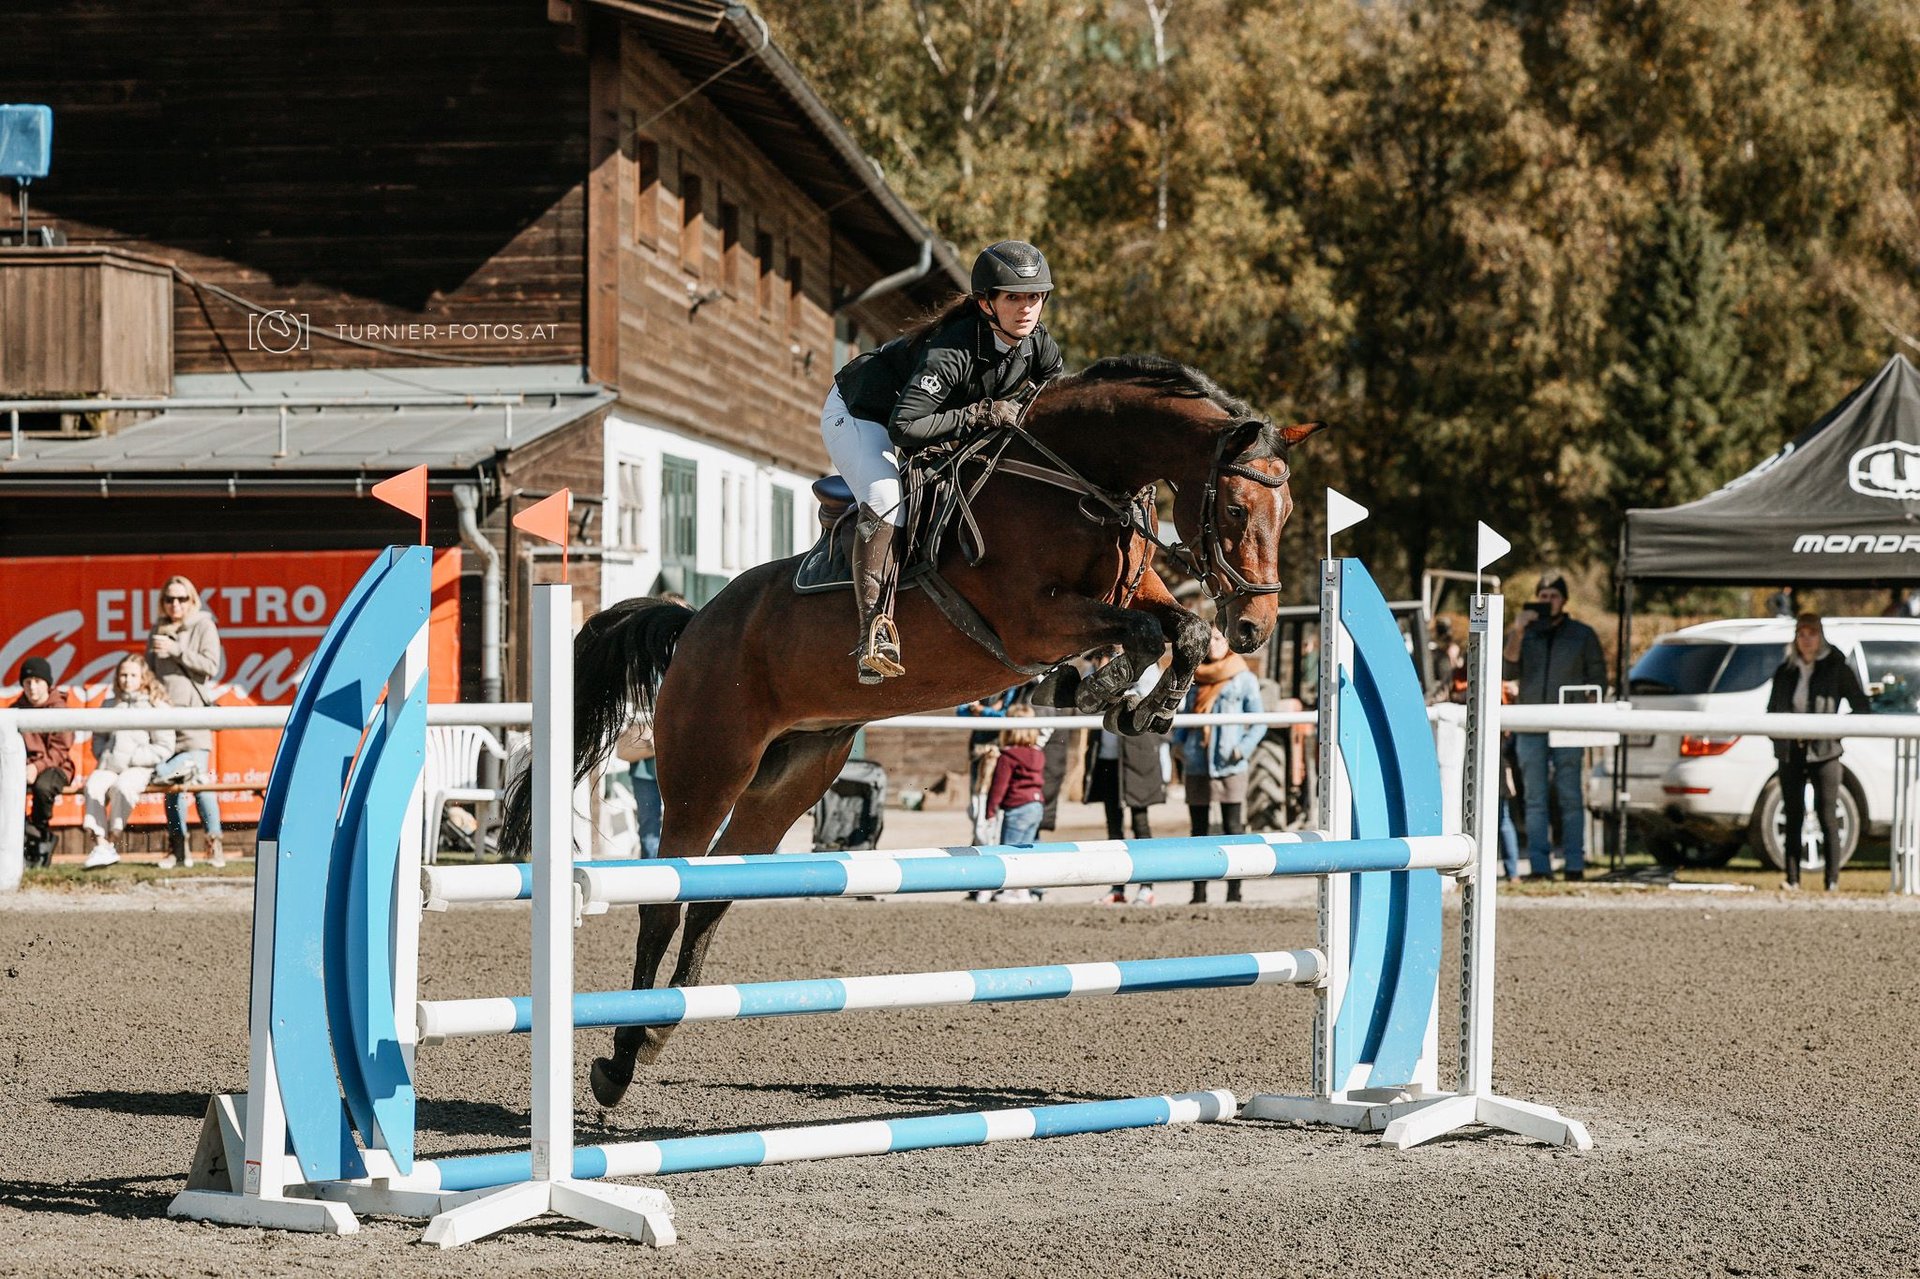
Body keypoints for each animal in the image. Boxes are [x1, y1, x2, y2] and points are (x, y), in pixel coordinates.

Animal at [504, 354, 1323, 1107]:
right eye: (1237, 509)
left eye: (1285, 514)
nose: (1254, 628)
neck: (1079, 479)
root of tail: (694, 625)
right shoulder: (1033, 618)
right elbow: (1158, 628)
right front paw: (1104, 688)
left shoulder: (1128, 591)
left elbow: (1177, 626)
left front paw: (1132, 702)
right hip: (708, 769)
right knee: (662, 899)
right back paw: (618, 1061)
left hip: (789, 779)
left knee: (711, 898)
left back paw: (658, 1030)